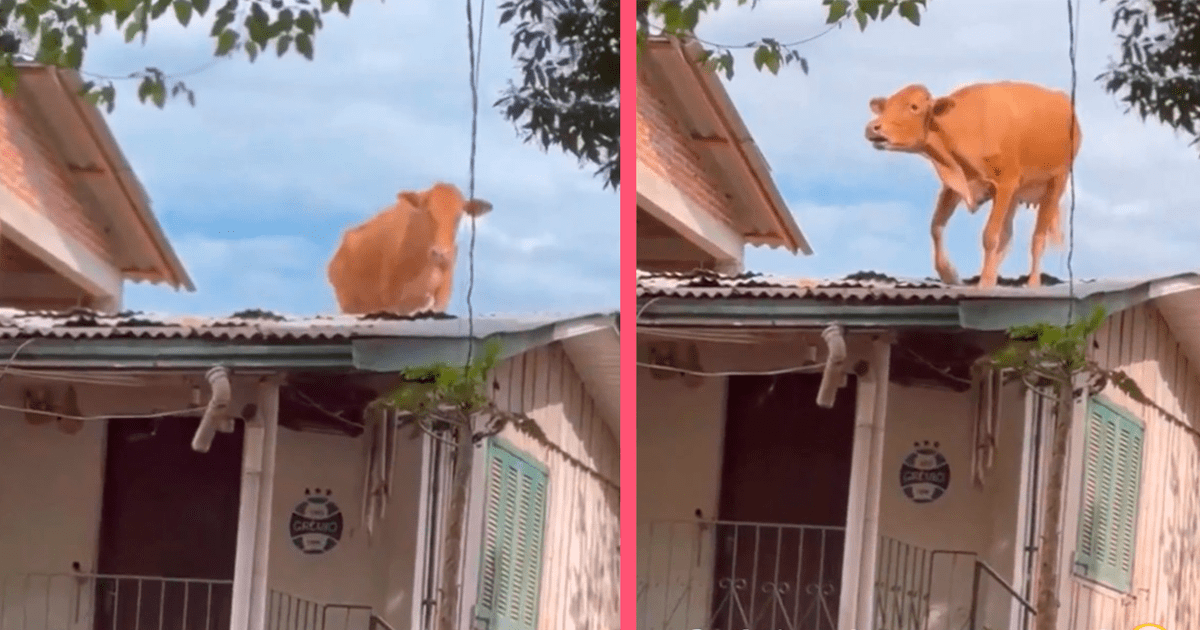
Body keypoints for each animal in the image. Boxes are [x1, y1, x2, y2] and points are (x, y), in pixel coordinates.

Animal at [863, 81, 1082, 288]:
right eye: (885, 106)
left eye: (914, 106)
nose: (872, 127)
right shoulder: (954, 185)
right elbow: (936, 226)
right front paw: (949, 274)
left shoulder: (1006, 184)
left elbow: (990, 235)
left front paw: (983, 283)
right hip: (1016, 195)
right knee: (1007, 236)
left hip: (1056, 183)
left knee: (1038, 237)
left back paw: (1033, 283)